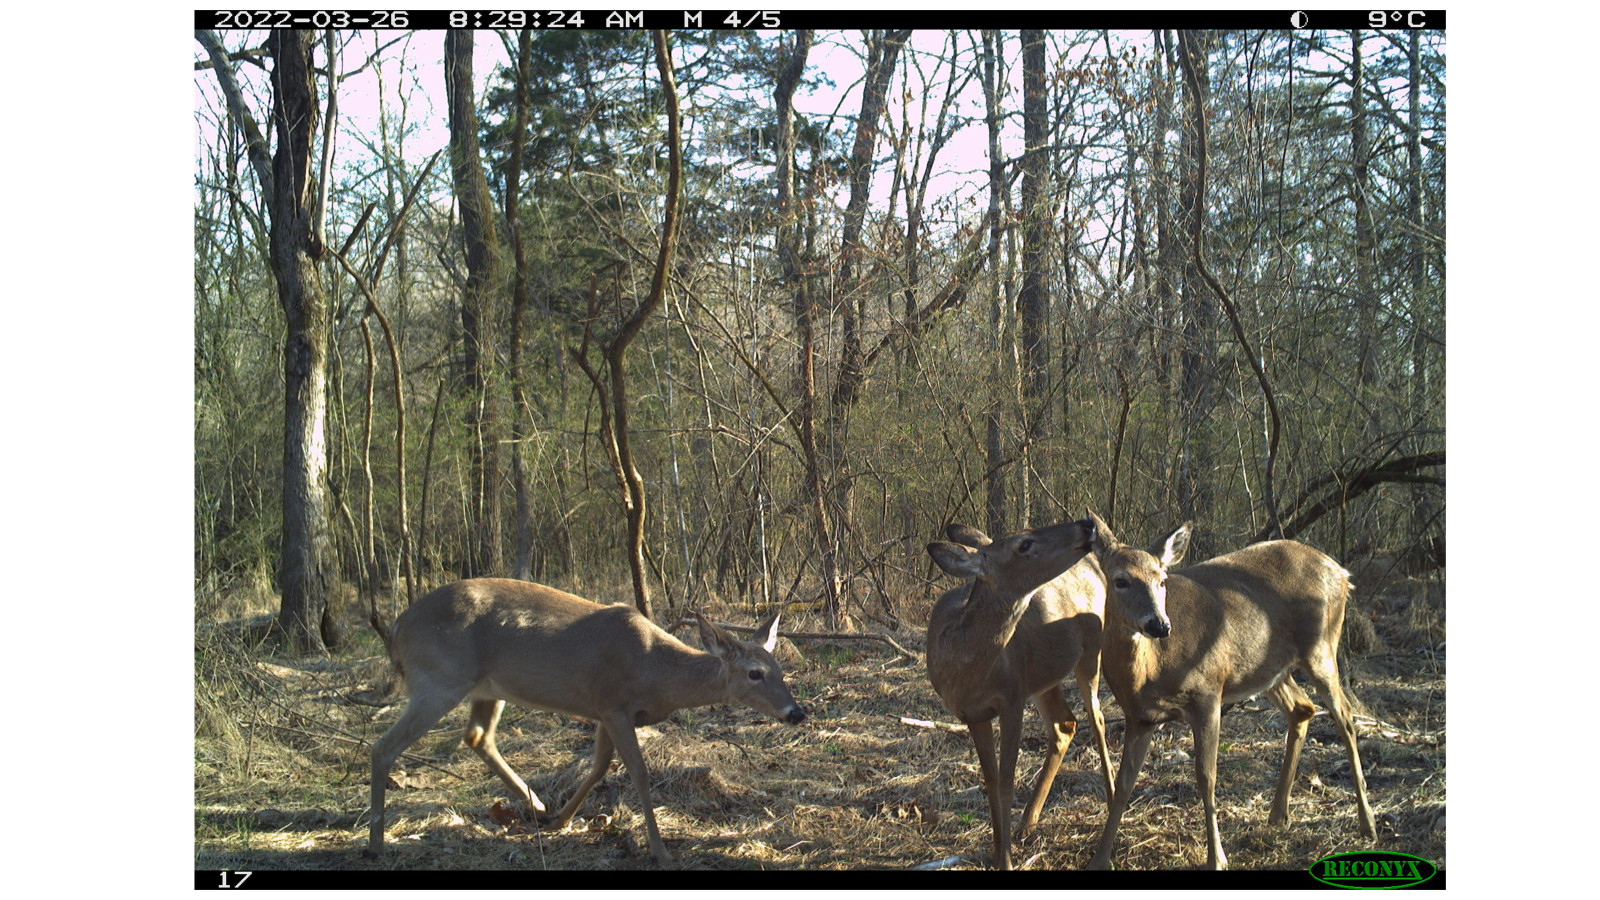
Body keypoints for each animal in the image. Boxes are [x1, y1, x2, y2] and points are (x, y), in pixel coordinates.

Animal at [366, 578, 806, 867]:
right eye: (754, 673)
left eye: (780, 670)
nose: (796, 712)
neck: (656, 670)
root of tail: (396, 629)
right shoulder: (613, 704)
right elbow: (638, 772)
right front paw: (660, 851)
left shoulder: (603, 710)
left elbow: (599, 766)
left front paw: (562, 819)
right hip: (439, 679)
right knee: (382, 746)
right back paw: (376, 842)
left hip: (486, 687)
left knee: (477, 737)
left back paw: (536, 804)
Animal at [924, 517, 1115, 870]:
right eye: (1023, 544)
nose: (1086, 524)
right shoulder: (973, 714)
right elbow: (991, 783)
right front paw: (997, 851)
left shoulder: (1012, 699)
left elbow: (1006, 784)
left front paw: (1006, 860)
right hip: (1043, 678)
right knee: (1065, 724)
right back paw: (1028, 821)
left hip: (1091, 651)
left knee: (1097, 719)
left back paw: (1112, 804)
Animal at [1083, 511, 1376, 870]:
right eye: (1120, 580)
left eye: (1161, 580)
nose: (1160, 625)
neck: (1148, 670)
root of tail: (1342, 572)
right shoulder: (1139, 716)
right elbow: (1124, 782)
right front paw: (1099, 858)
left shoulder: (1208, 694)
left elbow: (1206, 776)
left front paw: (1217, 858)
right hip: (1269, 669)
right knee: (1302, 708)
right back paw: (1278, 815)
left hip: (1321, 647)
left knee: (1345, 718)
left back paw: (1367, 823)